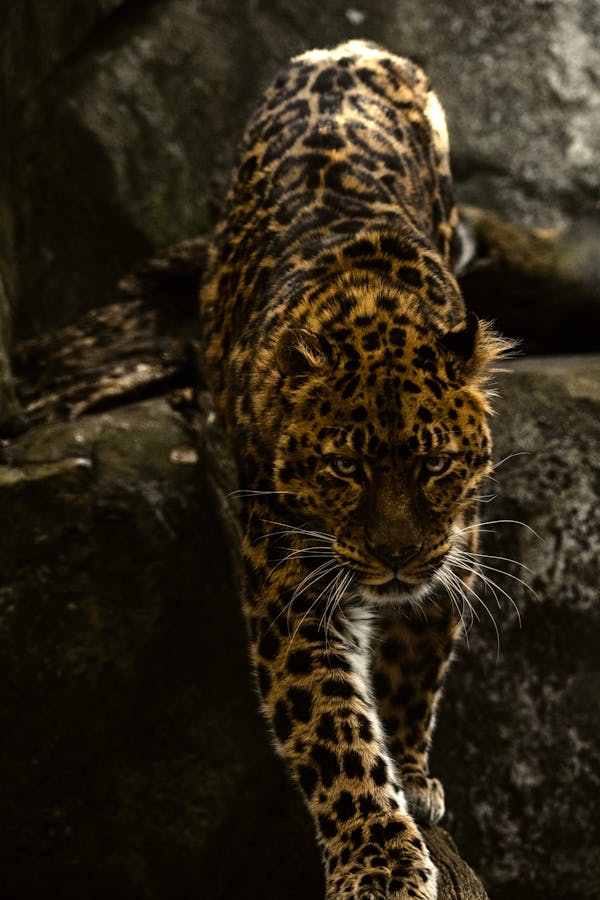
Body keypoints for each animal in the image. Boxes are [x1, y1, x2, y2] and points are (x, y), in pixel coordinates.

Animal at [200, 40, 509, 900]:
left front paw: (411, 774)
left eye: (436, 462)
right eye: (342, 466)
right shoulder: (289, 590)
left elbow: (410, 672)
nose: (396, 555)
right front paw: (378, 860)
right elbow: (333, 733)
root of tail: (347, 49)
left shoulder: (452, 552)